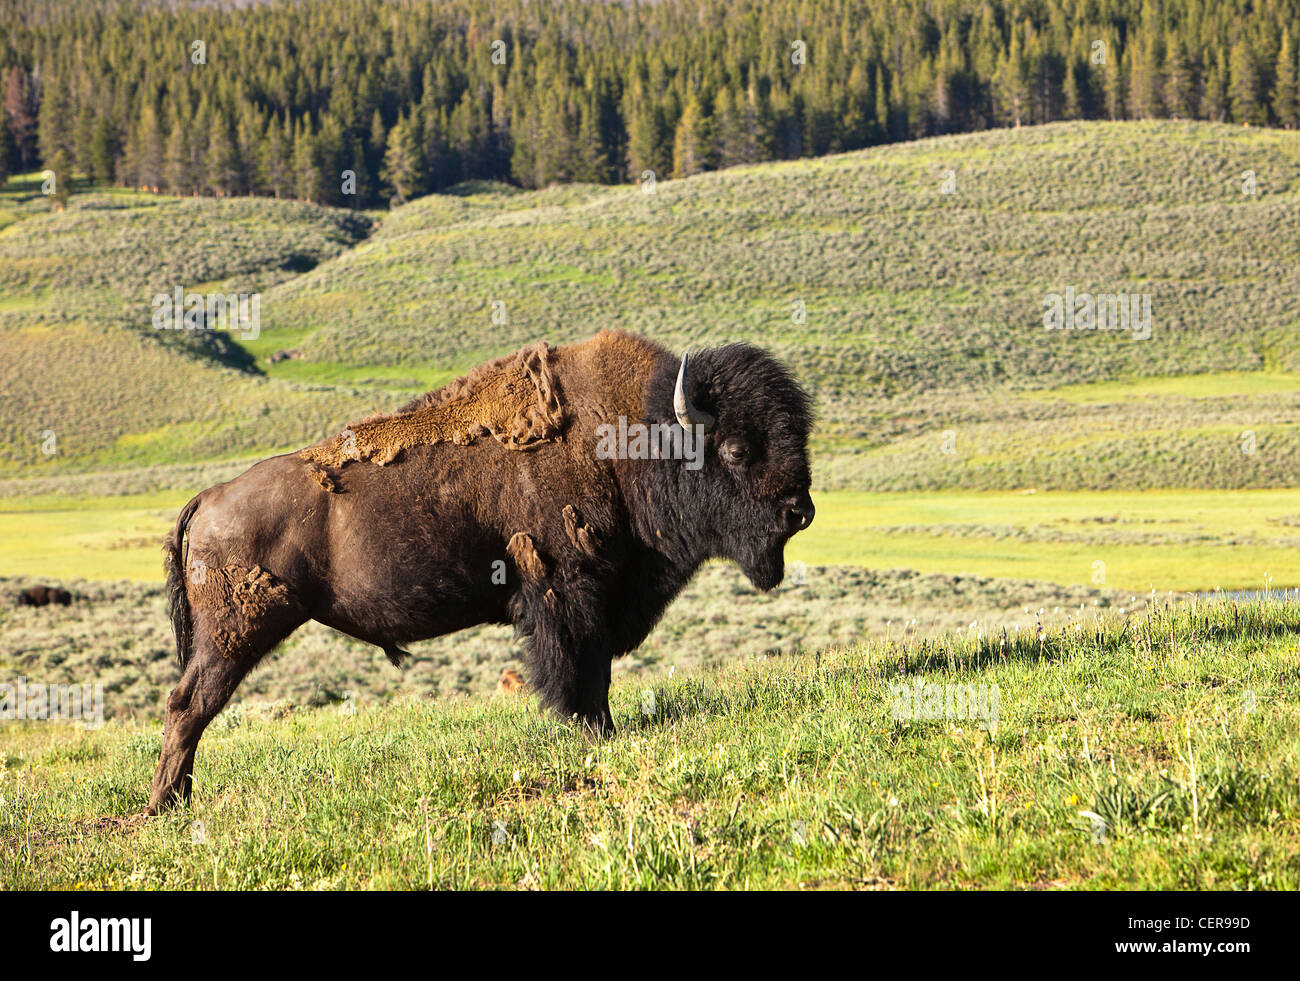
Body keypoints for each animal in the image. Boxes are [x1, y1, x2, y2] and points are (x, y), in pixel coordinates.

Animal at [147, 330, 814, 813]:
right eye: (736, 449)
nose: (800, 510)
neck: (635, 441)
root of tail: (209, 497)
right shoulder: (568, 592)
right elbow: (583, 671)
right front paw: (596, 735)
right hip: (235, 633)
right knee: (188, 705)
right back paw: (165, 807)